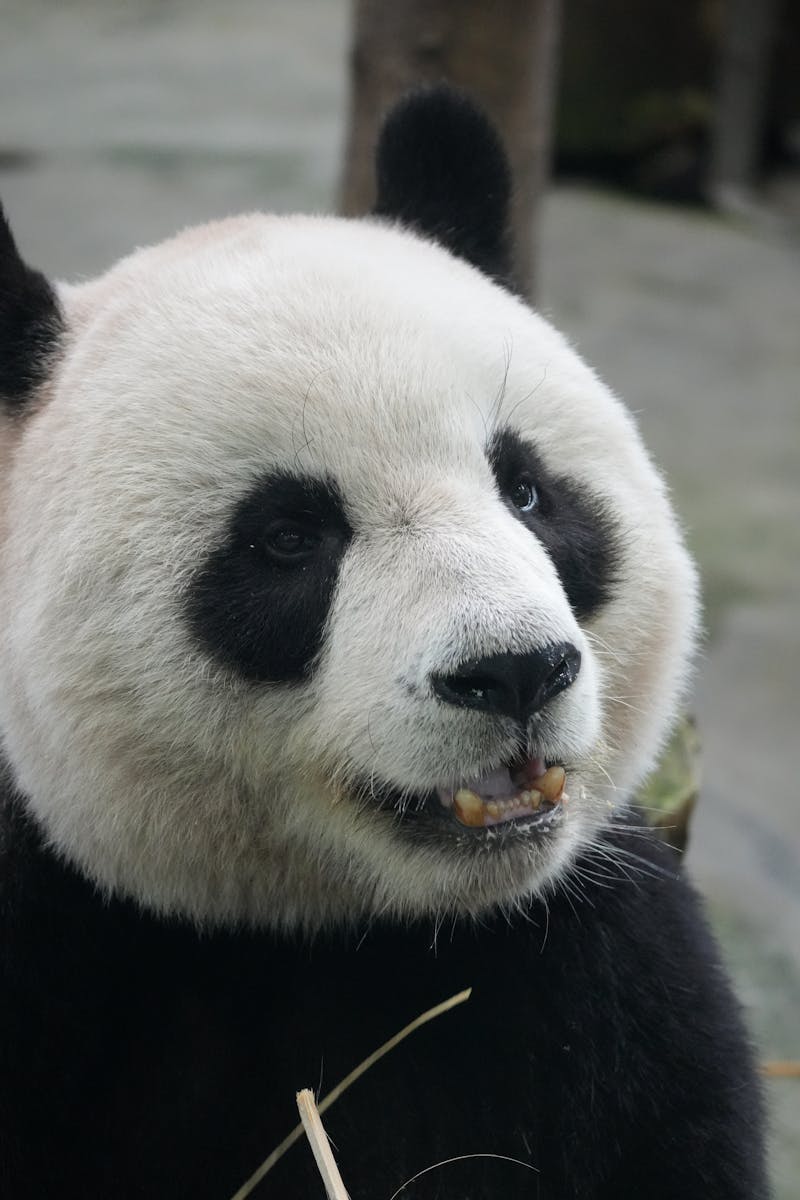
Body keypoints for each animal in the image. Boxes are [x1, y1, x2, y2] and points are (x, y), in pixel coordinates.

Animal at [0, 88, 768, 1199]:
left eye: (525, 489)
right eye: (287, 538)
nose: (514, 672)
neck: (338, 932)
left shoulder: (599, 976)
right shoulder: (55, 950)